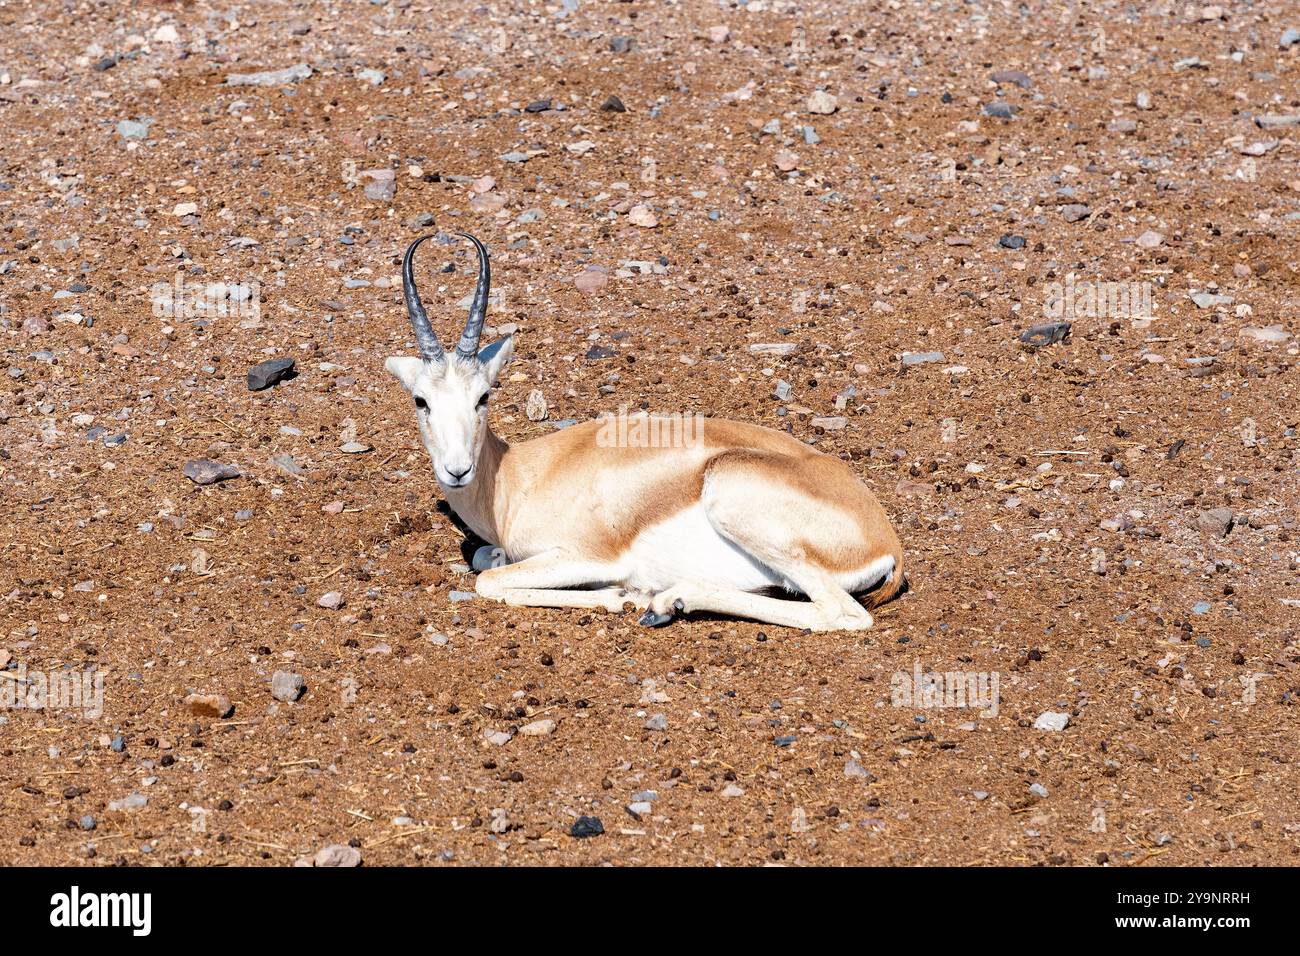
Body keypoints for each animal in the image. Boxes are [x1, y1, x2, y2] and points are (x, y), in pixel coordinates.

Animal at [385, 234, 906, 632]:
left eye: (483, 396)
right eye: (421, 400)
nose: (457, 470)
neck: (515, 480)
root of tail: (887, 540)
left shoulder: (587, 556)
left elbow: (489, 581)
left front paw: (621, 595)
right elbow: (485, 563)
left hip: (733, 499)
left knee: (842, 615)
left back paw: (662, 601)